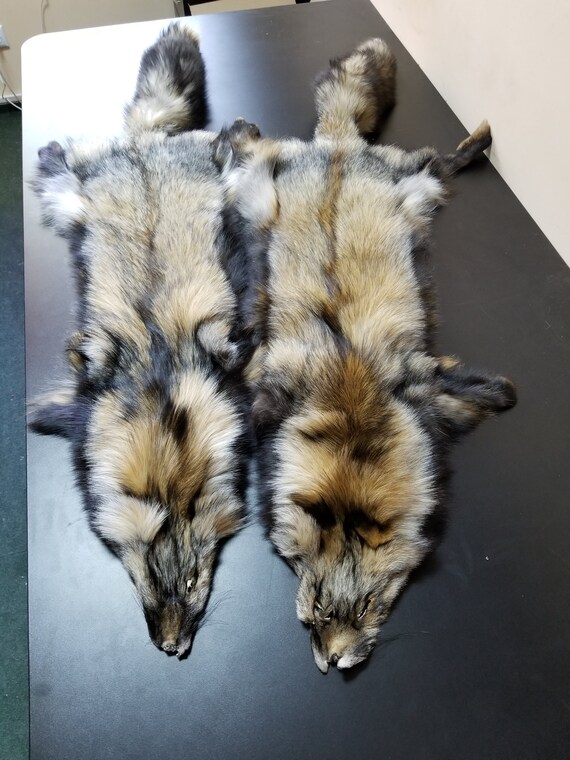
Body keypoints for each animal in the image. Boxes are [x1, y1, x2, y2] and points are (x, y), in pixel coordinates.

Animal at [29, 24, 251, 658]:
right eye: (151, 577)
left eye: (195, 580)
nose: (175, 648)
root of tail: (146, 145)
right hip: (73, 194)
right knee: (65, 163)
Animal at [215, 39, 517, 673]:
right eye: (318, 610)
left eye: (370, 606)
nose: (334, 664)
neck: (351, 397)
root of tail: (337, 146)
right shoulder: (271, 390)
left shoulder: (424, 387)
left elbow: (489, 389)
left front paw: (501, 394)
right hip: (253, 192)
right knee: (248, 145)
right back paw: (239, 127)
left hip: (417, 190)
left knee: (441, 161)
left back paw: (477, 142)